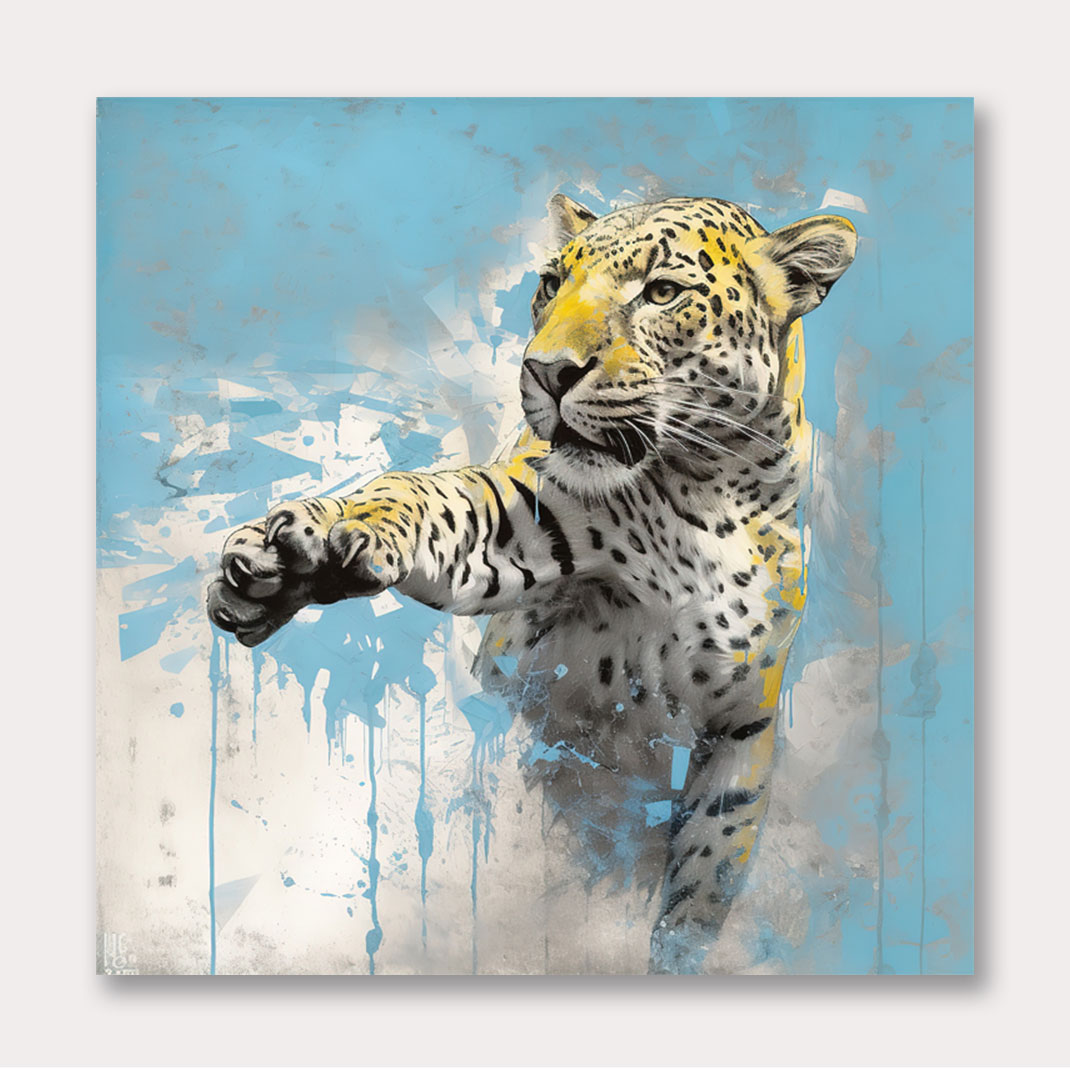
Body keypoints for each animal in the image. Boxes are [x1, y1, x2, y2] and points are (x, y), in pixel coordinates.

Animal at [207, 193, 856, 973]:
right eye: (551, 284)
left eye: (661, 292)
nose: (546, 371)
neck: (707, 494)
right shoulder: (520, 528)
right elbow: (431, 501)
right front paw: (300, 550)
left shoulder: (739, 731)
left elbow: (699, 887)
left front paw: (673, 954)